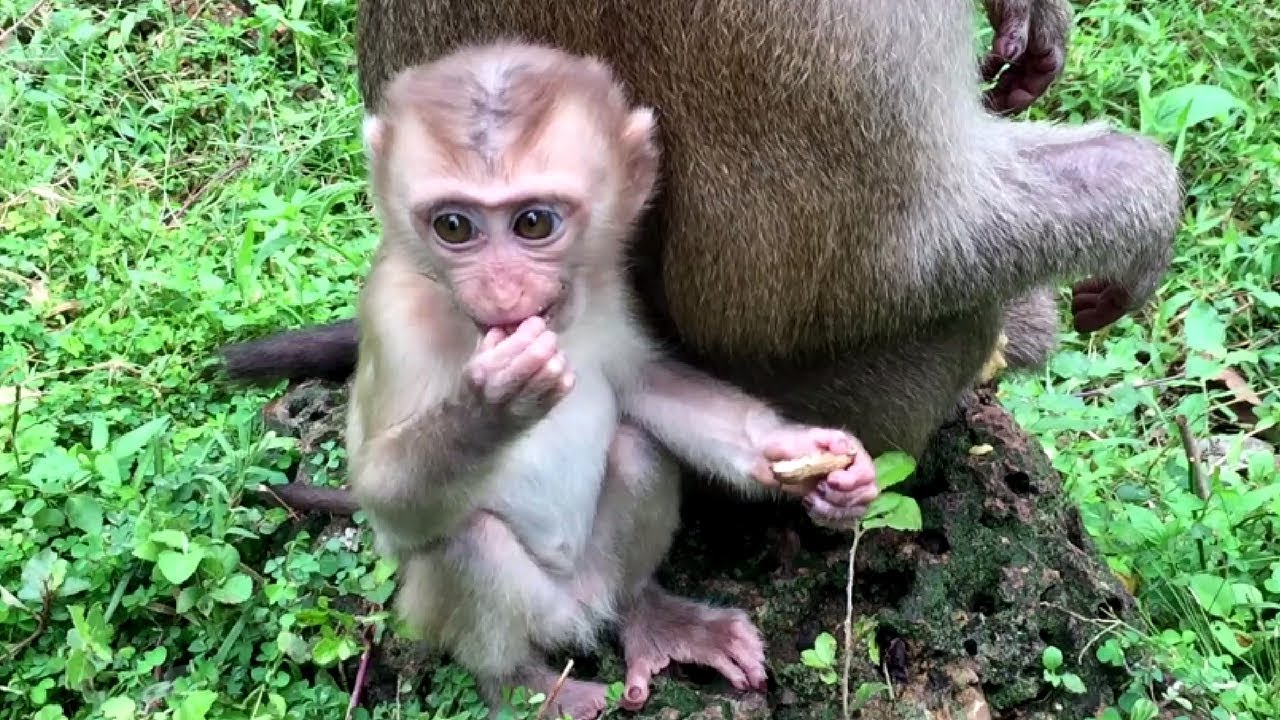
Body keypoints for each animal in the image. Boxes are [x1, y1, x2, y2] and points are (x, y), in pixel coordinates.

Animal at [347, 43, 882, 719]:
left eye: (532, 223)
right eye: (453, 227)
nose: (502, 291)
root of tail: (580, 611)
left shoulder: (609, 288)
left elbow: (646, 385)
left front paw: (809, 461)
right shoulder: (395, 319)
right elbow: (385, 501)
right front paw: (493, 403)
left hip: (596, 577)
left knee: (637, 451)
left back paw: (646, 613)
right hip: (515, 612)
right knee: (468, 542)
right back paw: (521, 683)